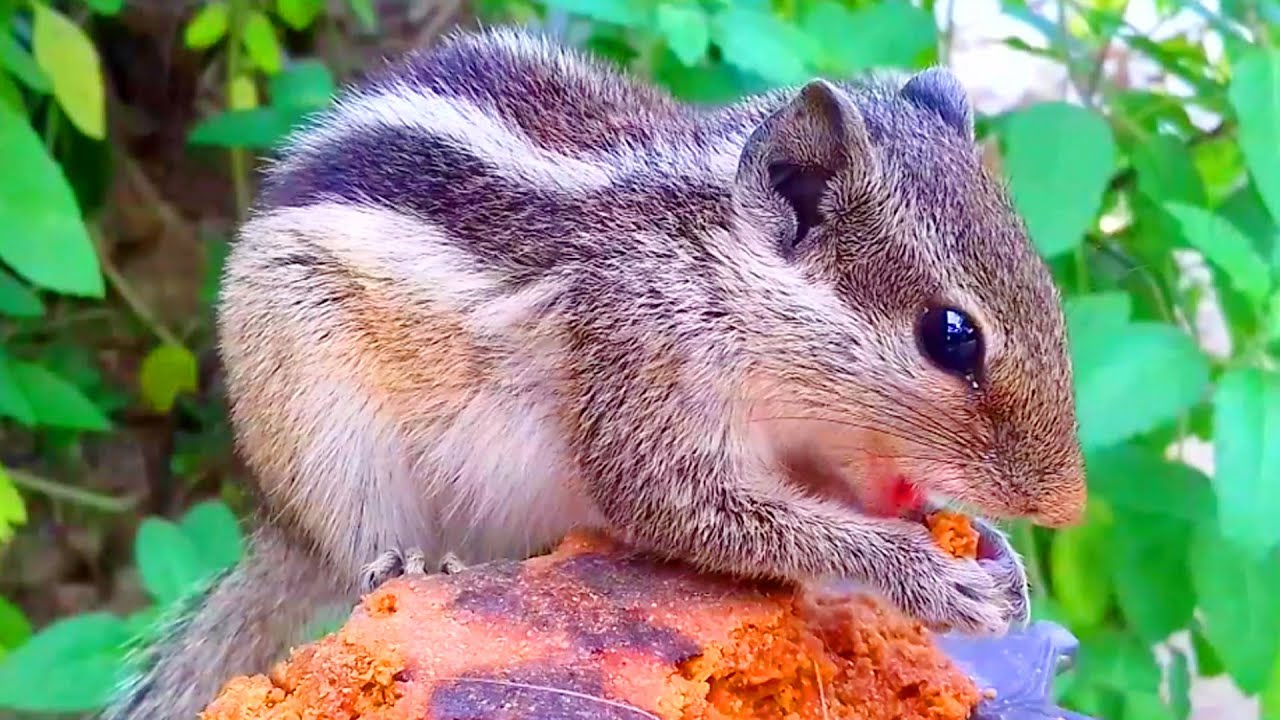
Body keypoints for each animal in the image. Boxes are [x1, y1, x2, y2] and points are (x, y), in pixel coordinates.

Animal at [102, 26, 1087, 720]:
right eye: (951, 337)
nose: (1066, 508)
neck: (708, 263)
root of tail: (279, 522)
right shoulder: (636, 378)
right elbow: (691, 509)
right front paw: (936, 577)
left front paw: (990, 552)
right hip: (322, 422)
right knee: (358, 547)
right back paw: (405, 561)